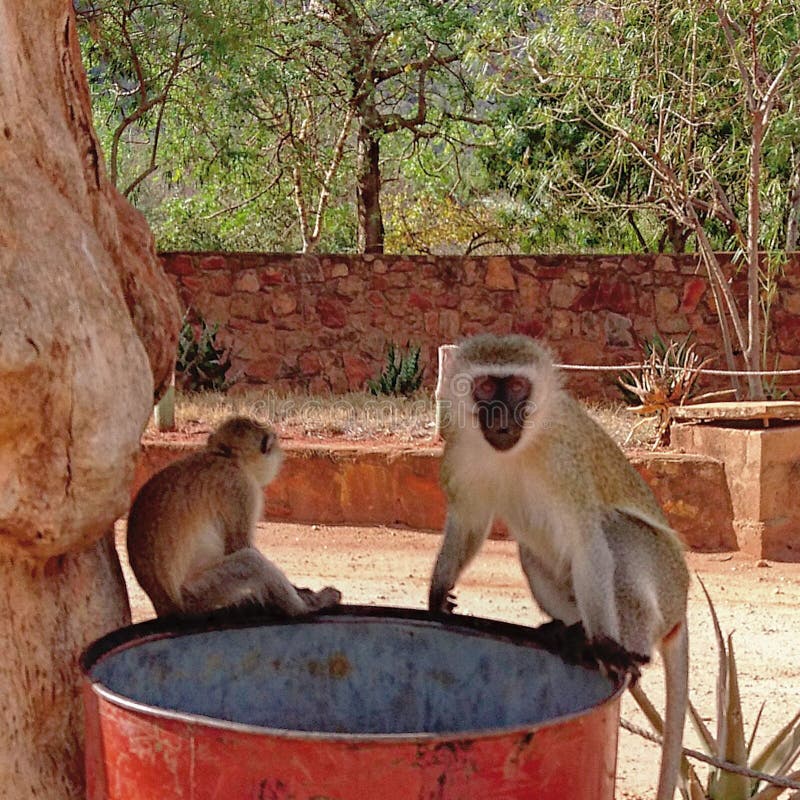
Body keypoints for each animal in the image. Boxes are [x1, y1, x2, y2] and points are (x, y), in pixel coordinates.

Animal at [127, 415, 342, 618]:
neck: (228, 457)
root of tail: (170, 608)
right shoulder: (242, 487)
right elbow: (239, 545)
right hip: (198, 593)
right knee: (250, 562)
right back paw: (304, 607)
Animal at [428, 334, 689, 800]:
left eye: (517, 388)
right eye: (486, 388)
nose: (502, 417)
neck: (522, 447)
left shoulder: (567, 463)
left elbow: (589, 542)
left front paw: (605, 646)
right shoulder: (459, 449)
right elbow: (470, 520)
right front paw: (440, 592)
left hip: (667, 580)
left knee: (615, 532)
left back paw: (622, 648)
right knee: (532, 553)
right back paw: (569, 631)